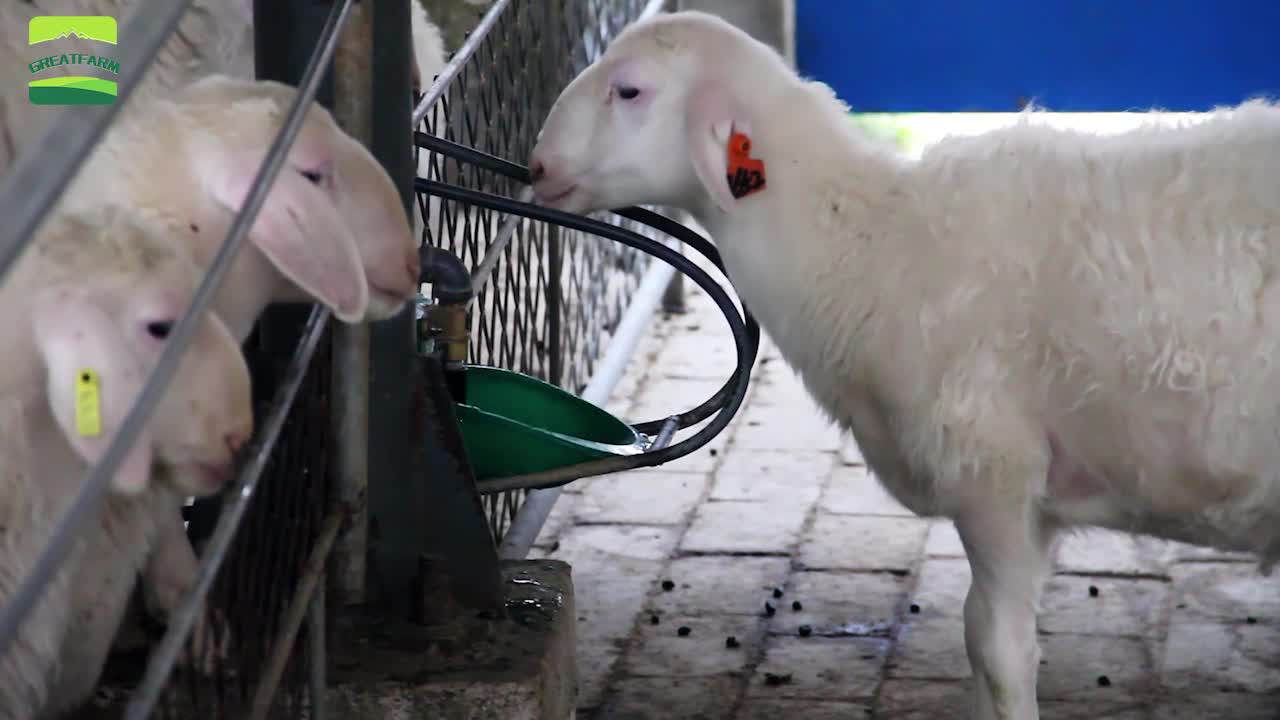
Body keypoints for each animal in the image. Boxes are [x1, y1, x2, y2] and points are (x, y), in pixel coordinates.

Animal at [528, 10, 1280, 719]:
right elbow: (981, 651)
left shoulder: (995, 475)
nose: (536, 167)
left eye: (630, 90)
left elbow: (996, 648)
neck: (872, 245)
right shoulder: (1033, 498)